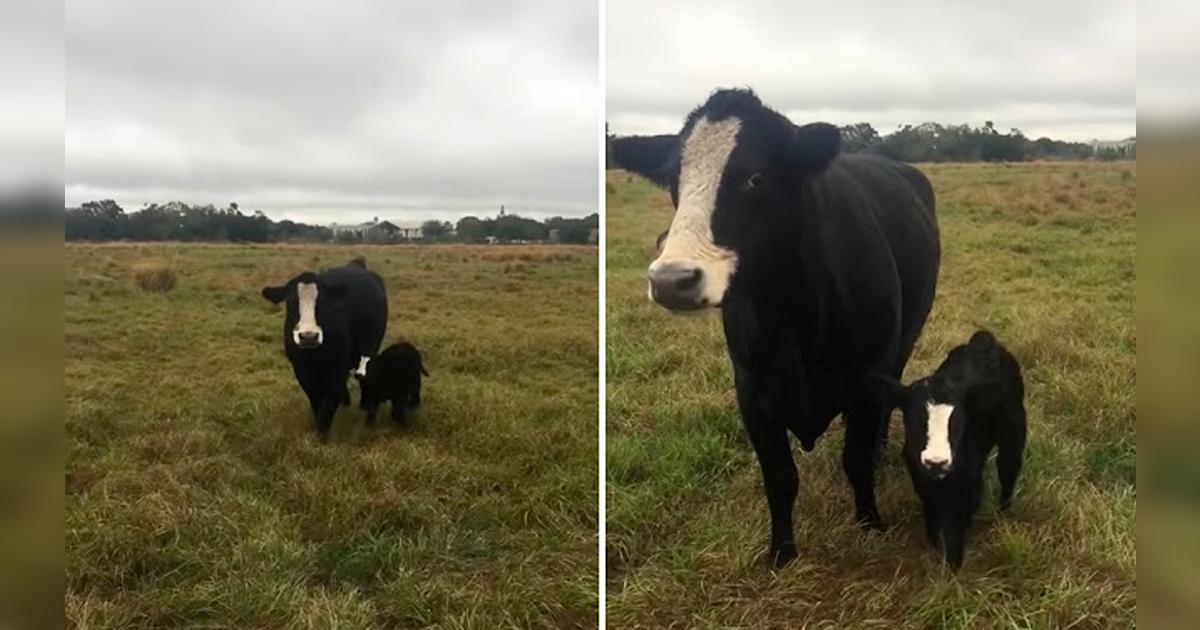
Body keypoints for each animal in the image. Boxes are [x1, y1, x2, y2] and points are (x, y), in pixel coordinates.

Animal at [261, 258, 388, 441]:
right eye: (291, 303)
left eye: (322, 303)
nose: (309, 336)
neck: (315, 356)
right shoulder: (302, 371)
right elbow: (316, 402)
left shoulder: (337, 368)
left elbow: (328, 405)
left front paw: (322, 437)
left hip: (370, 348)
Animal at [629, 88, 941, 567]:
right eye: (672, 181)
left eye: (755, 177)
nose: (671, 281)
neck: (793, 315)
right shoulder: (751, 391)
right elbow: (779, 477)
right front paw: (782, 553)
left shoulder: (867, 382)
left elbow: (855, 460)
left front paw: (869, 523)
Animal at [870, 330, 1027, 569]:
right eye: (913, 419)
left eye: (958, 421)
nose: (937, 461)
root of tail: (981, 342)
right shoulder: (921, 478)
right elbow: (933, 513)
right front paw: (936, 545)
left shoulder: (969, 480)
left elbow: (958, 520)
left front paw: (953, 563)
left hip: (1014, 429)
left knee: (1009, 468)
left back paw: (1003, 513)